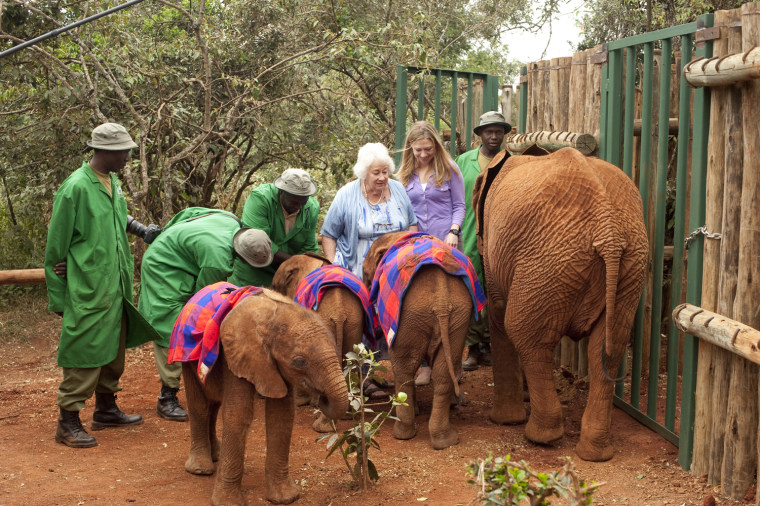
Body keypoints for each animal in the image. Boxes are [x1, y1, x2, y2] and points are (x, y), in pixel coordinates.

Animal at [178, 287, 349, 505]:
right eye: (299, 362)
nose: (322, 397)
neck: (274, 317)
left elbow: (281, 416)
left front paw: (285, 498)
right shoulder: (237, 354)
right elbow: (238, 414)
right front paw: (228, 503)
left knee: (214, 403)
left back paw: (215, 455)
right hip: (187, 356)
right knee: (199, 405)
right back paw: (201, 469)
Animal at [271, 253, 367, 432]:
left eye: (275, 286)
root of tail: (339, 311)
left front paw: (301, 403)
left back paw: (323, 427)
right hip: (354, 322)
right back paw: (347, 414)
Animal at [362, 231, 485, 450]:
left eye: (366, 275)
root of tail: (442, 300)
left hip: (409, 316)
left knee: (404, 368)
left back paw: (403, 434)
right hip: (458, 314)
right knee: (444, 371)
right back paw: (445, 441)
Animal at [473, 147, 648, 462]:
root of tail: (607, 230)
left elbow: (499, 314)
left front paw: (504, 420)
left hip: (548, 263)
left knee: (524, 334)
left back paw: (540, 436)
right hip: (629, 265)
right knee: (608, 348)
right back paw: (595, 453)